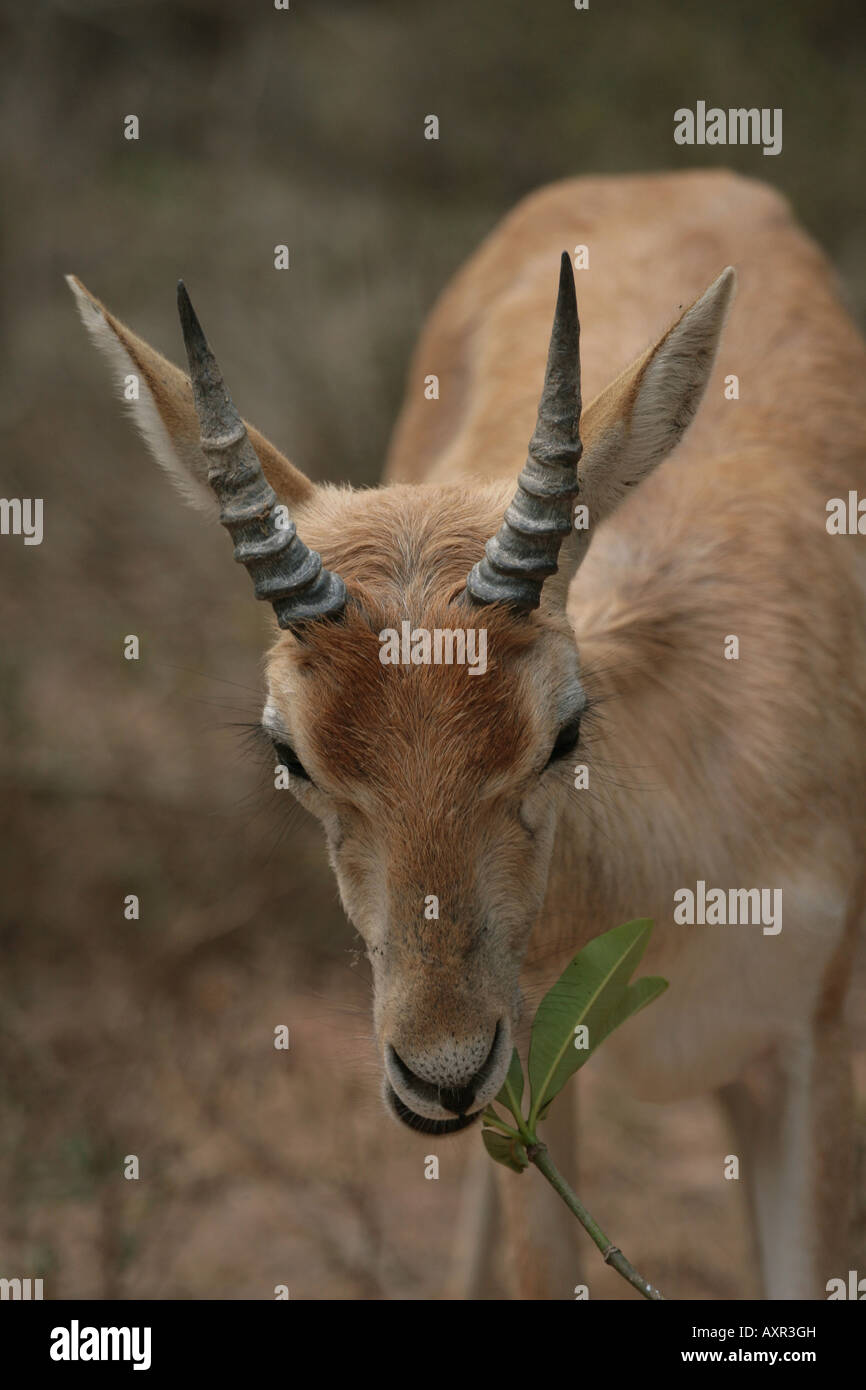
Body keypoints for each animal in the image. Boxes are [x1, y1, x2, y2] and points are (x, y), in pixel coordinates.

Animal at [68, 168, 866, 1300]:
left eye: (563, 732)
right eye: (290, 753)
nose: (438, 1072)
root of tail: (650, 178)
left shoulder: (810, 1052)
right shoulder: (531, 1066)